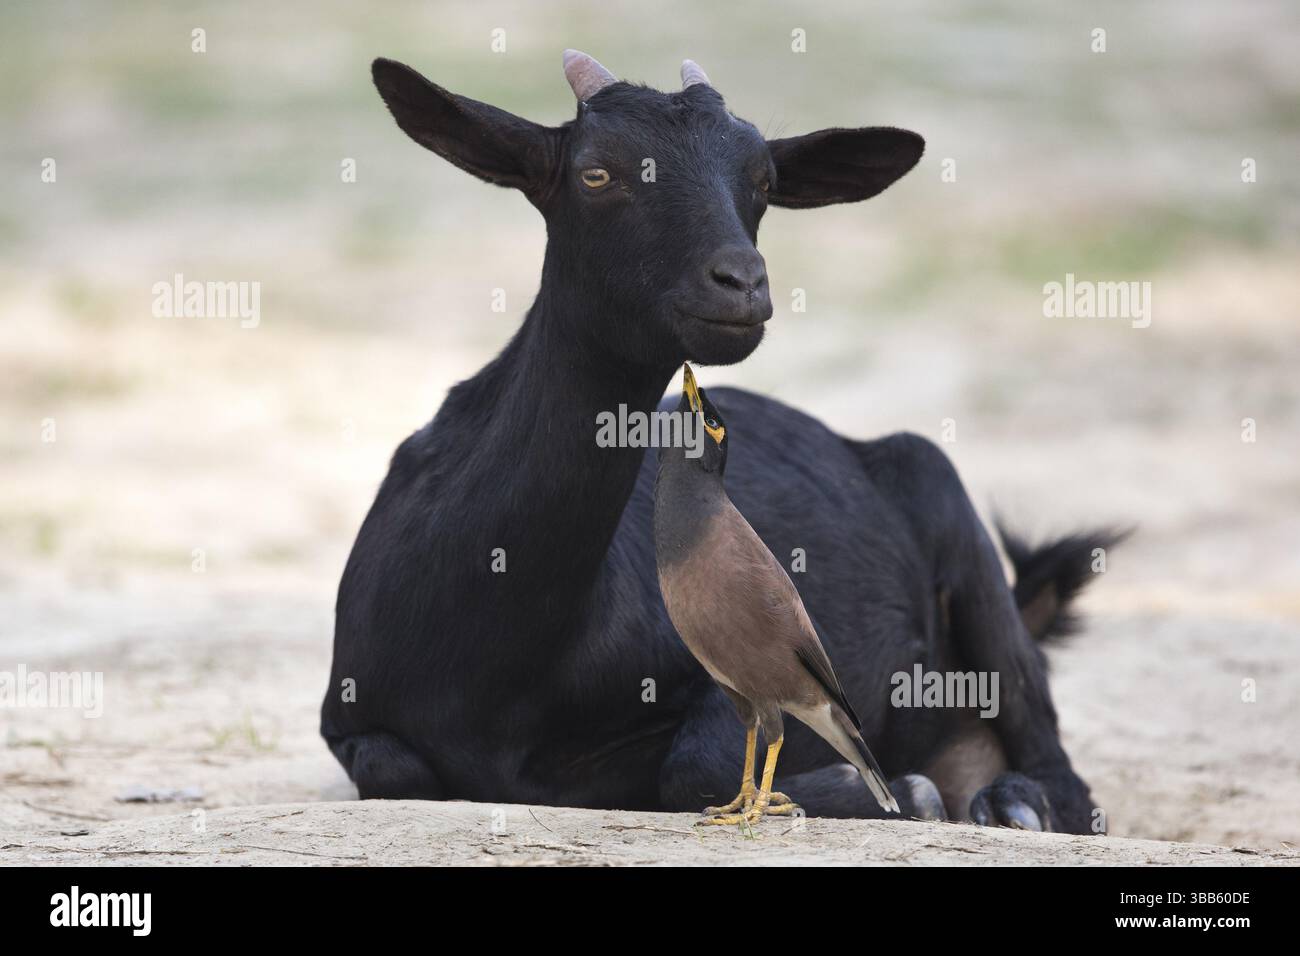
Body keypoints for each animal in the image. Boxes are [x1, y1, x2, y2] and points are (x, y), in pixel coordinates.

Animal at [321, 52, 1122, 832]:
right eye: (596, 173)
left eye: (764, 181)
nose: (742, 283)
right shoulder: (350, 717)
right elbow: (391, 766)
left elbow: (696, 762)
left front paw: (886, 792)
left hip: (949, 506)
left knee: (1056, 759)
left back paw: (1010, 804)